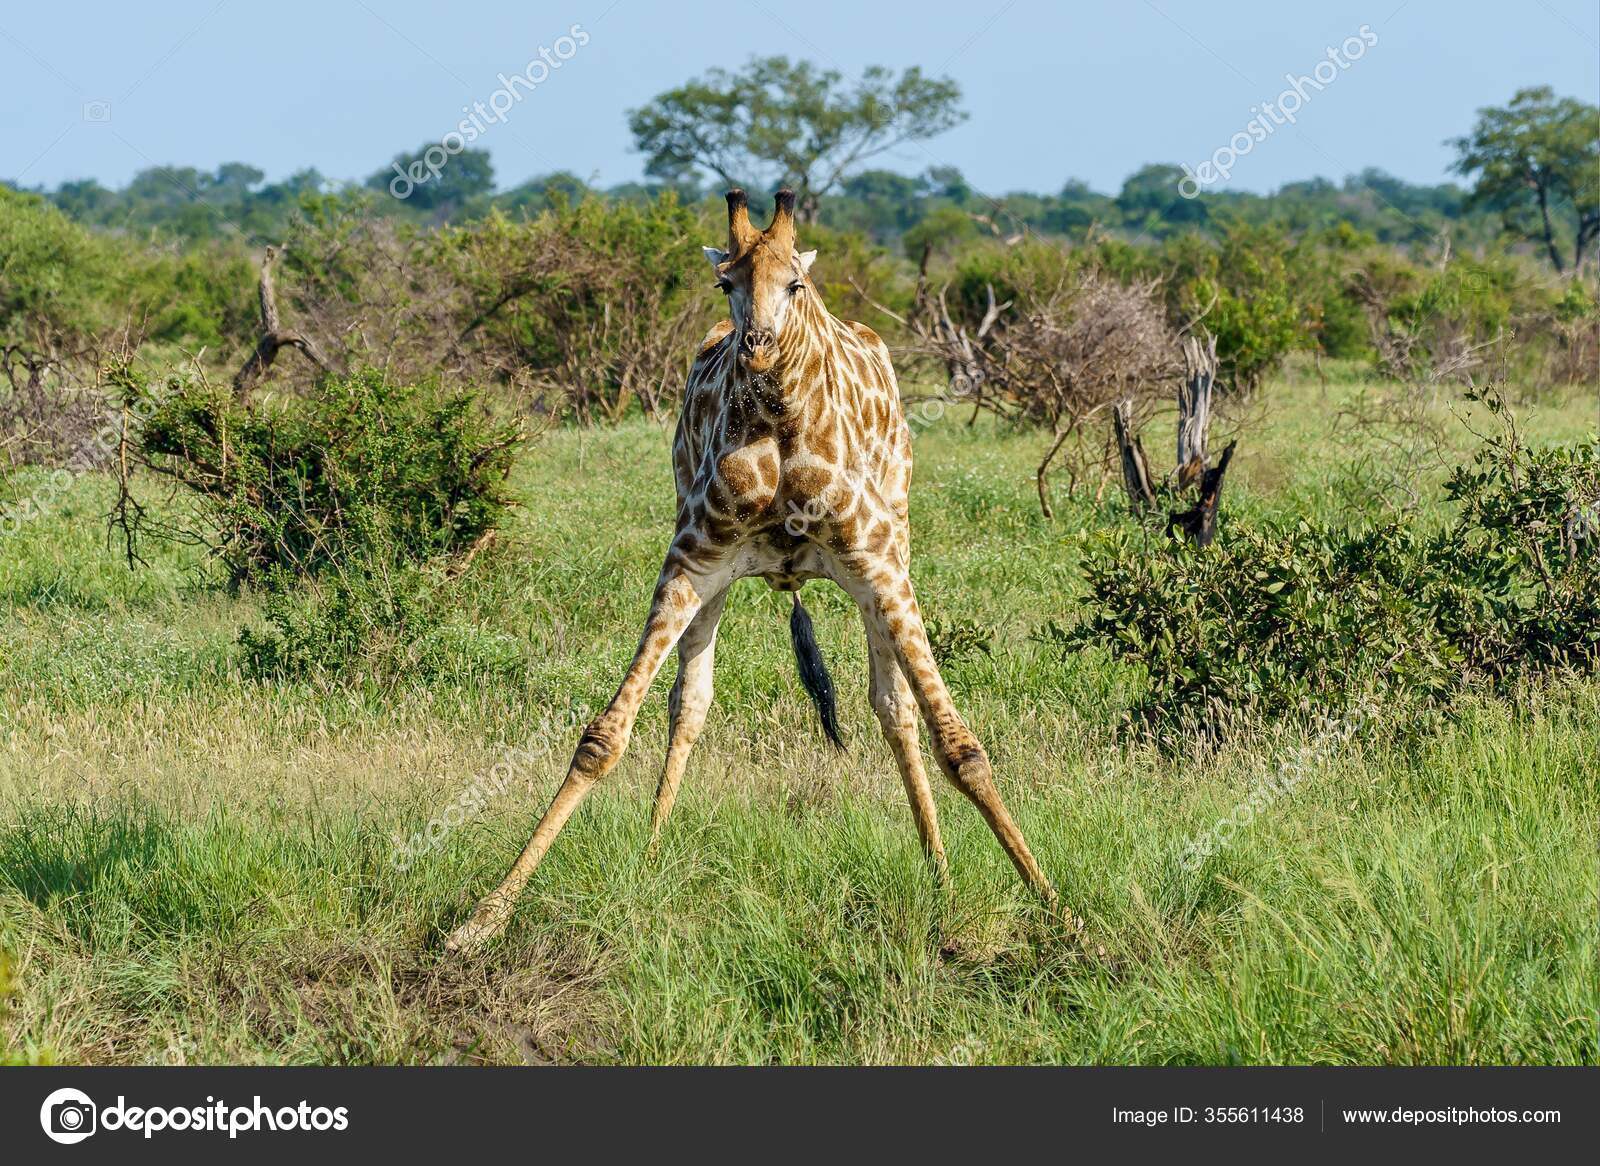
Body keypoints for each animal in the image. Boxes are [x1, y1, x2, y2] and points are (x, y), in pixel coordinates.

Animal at [446, 189, 1056, 951]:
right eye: (725, 283)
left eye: (794, 283)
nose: (758, 348)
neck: (784, 423)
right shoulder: (690, 557)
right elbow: (605, 736)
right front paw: (483, 918)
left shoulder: (880, 563)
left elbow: (960, 745)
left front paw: (1055, 904)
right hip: (712, 569)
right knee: (689, 703)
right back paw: (653, 852)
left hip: (892, 548)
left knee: (895, 709)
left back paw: (940, 868)